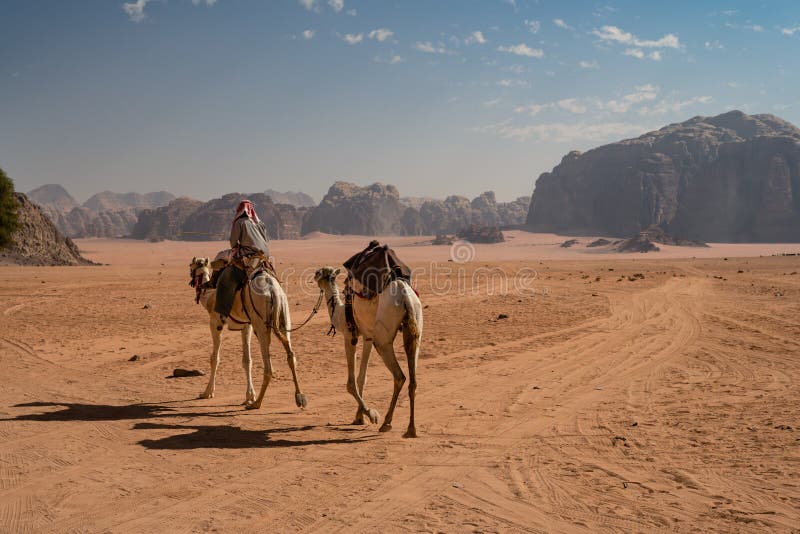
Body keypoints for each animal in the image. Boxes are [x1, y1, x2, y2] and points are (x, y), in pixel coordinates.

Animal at [189, 257, 307, 411]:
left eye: (190, 266)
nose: (191, 281)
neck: (209, 295)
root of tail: (273, 290)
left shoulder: (215, 322)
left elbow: (215, 358)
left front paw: (207, 392)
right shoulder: (246, 326)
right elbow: (247, 360)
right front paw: (249, 396)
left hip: (260, 324)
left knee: (268, 366)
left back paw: (257, 404)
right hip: (284, 316)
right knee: (291, 355)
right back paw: (300, 397)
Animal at [314, 266, 423, 438]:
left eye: (320, 273)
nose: (313, 275)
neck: (339, 312)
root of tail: (405, 295)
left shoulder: (349, 336)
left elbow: (351, 383)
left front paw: (370, 414)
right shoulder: (367, 337)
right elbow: (362, 378)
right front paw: (359, 418)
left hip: (382, 339)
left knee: (400, 376)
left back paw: (386, 423)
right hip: (415, 327)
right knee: (413, 380)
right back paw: (410, 429)